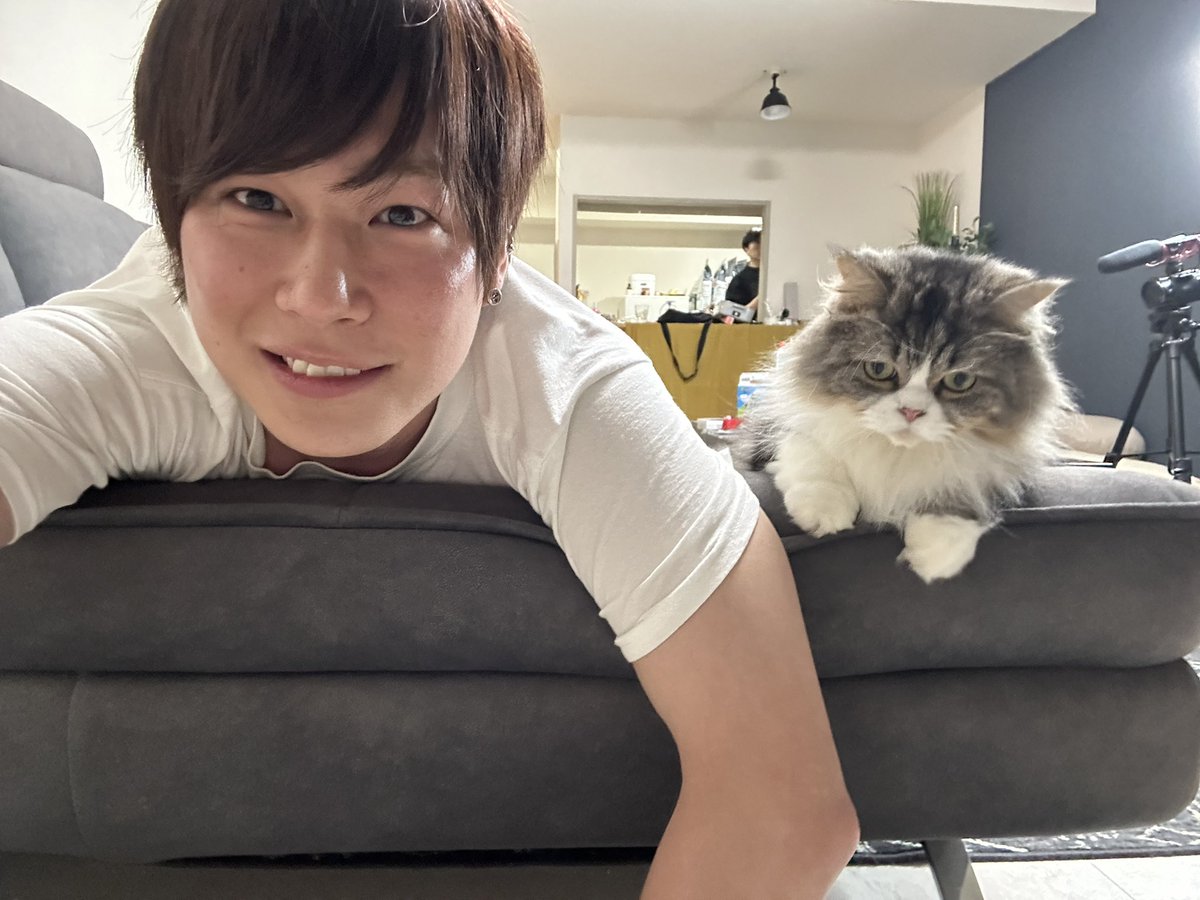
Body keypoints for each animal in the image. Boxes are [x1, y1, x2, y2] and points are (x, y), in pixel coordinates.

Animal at [739, 245, 1075, 583]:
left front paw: (937, 546)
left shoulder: (995, 464)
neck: (896, 454)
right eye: (879, 369)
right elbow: (811, 452)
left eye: (959, 381)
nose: (911, 411)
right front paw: (824, 508)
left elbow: (965, 487)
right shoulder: (772, 426)